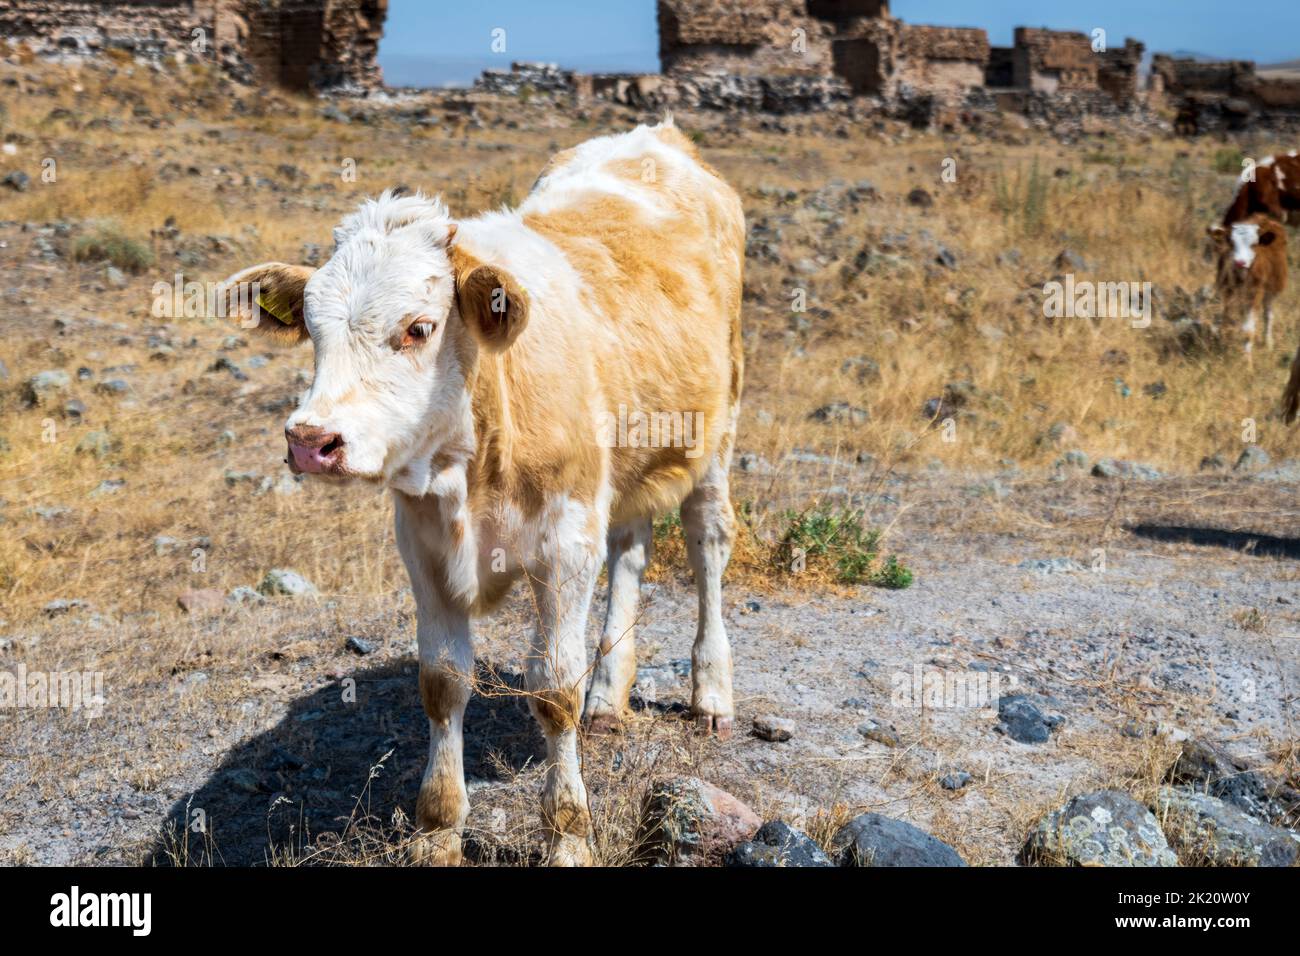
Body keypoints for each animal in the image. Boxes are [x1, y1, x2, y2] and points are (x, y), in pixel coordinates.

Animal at [218, 119, 745, 866]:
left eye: (418, 328)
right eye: (313, 330)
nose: (311, 439)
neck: (468, 465)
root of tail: (656, 134)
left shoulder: (565, 541)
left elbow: (553, 688)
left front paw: (568, 835)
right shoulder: (423, 544)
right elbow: (442, 683)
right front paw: (438, 830)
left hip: (718, 429)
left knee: (707, 544)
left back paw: (711, 692)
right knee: (631, 547)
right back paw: (608, 696)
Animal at [1208, 213, 1288, 358]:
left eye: (1254, 244)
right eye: (1231, 243)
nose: (1240, 262)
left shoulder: (1254, 294)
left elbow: (1248, 331)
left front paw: (1246, 360)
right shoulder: (1227, 291)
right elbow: (1225, 319)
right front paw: (1219, 344)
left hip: (1271, 292)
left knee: (1268, 315)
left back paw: (1268, 343)